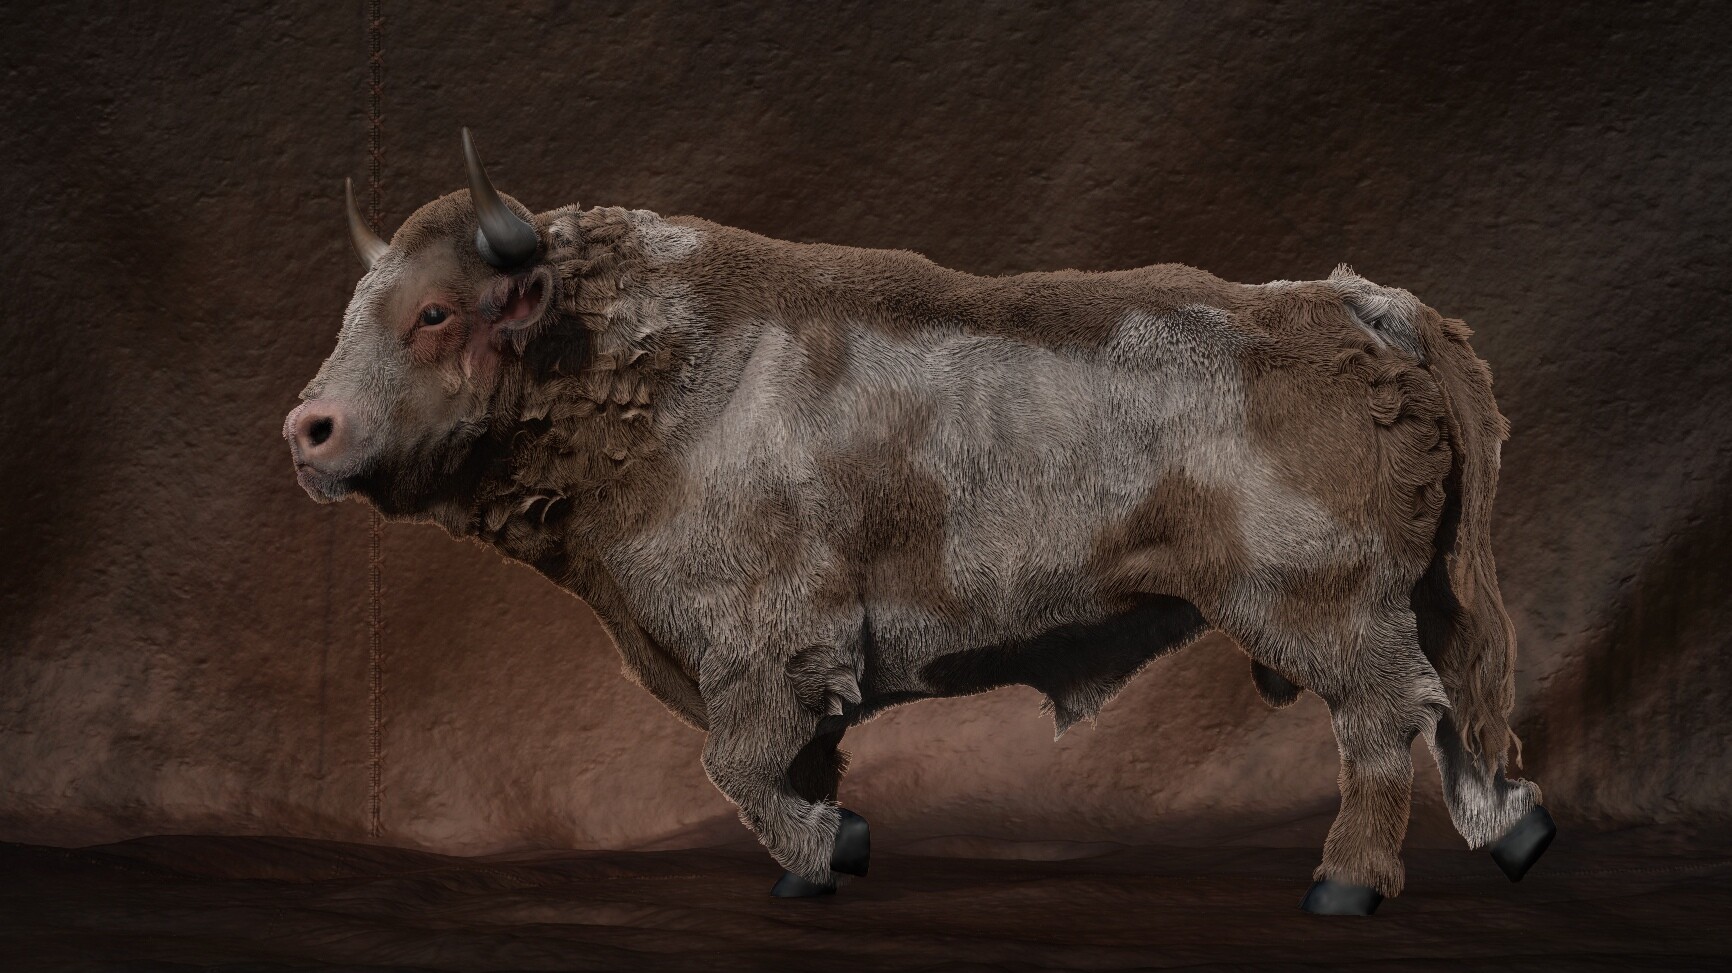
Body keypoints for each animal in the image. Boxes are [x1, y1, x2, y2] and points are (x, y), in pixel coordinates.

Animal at [285, 130, 1556, 915]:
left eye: (435, 311)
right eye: (358, 305)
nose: (309, 428)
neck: (650, 365)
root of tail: (1350, 305)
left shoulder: (767, 650)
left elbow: (739, 762)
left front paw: (832, 846)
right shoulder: (787, 667)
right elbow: (797, 759)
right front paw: (818, 862)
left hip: (1317, 610)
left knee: (1387, 719)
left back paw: (1346, 883)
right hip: (1419, 591)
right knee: (1456, 701)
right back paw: (1517, 834)